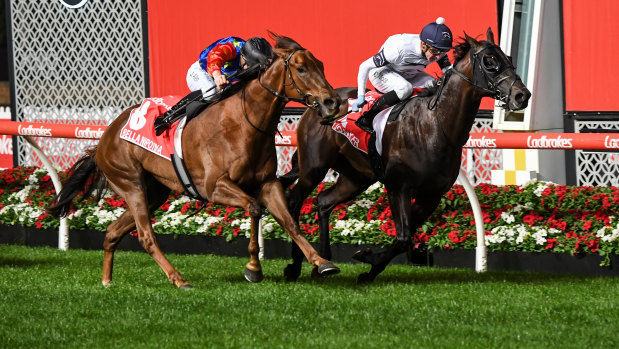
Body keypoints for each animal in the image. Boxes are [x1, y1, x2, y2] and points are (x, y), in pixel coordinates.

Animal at [47, 34, 340, 288]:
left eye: (322, 65)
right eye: (301, 69)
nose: (332, 101)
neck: (244, 123)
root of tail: (105, 138)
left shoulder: (267, 183)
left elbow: (289, 222)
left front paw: (321, 262)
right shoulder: (213, 186)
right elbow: (255, 208)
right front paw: (253, 268)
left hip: (154, 192)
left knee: (111, 232)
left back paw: (107, 281)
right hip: (130, 185)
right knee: (146, 237)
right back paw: (179, 279)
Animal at [284, 28, 532, 282]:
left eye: (509, 59)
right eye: (489, 62)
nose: (522, 95)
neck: (435, 126)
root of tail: (317, 103)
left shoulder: (431, 195)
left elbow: (406, 236)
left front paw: (370, 264)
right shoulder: (398, 187)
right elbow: (404, 237)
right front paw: (369, 260)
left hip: (356, 177)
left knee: (324, 201)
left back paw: (322, 261)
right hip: (314, 168)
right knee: (294, 201)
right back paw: (295, 265)